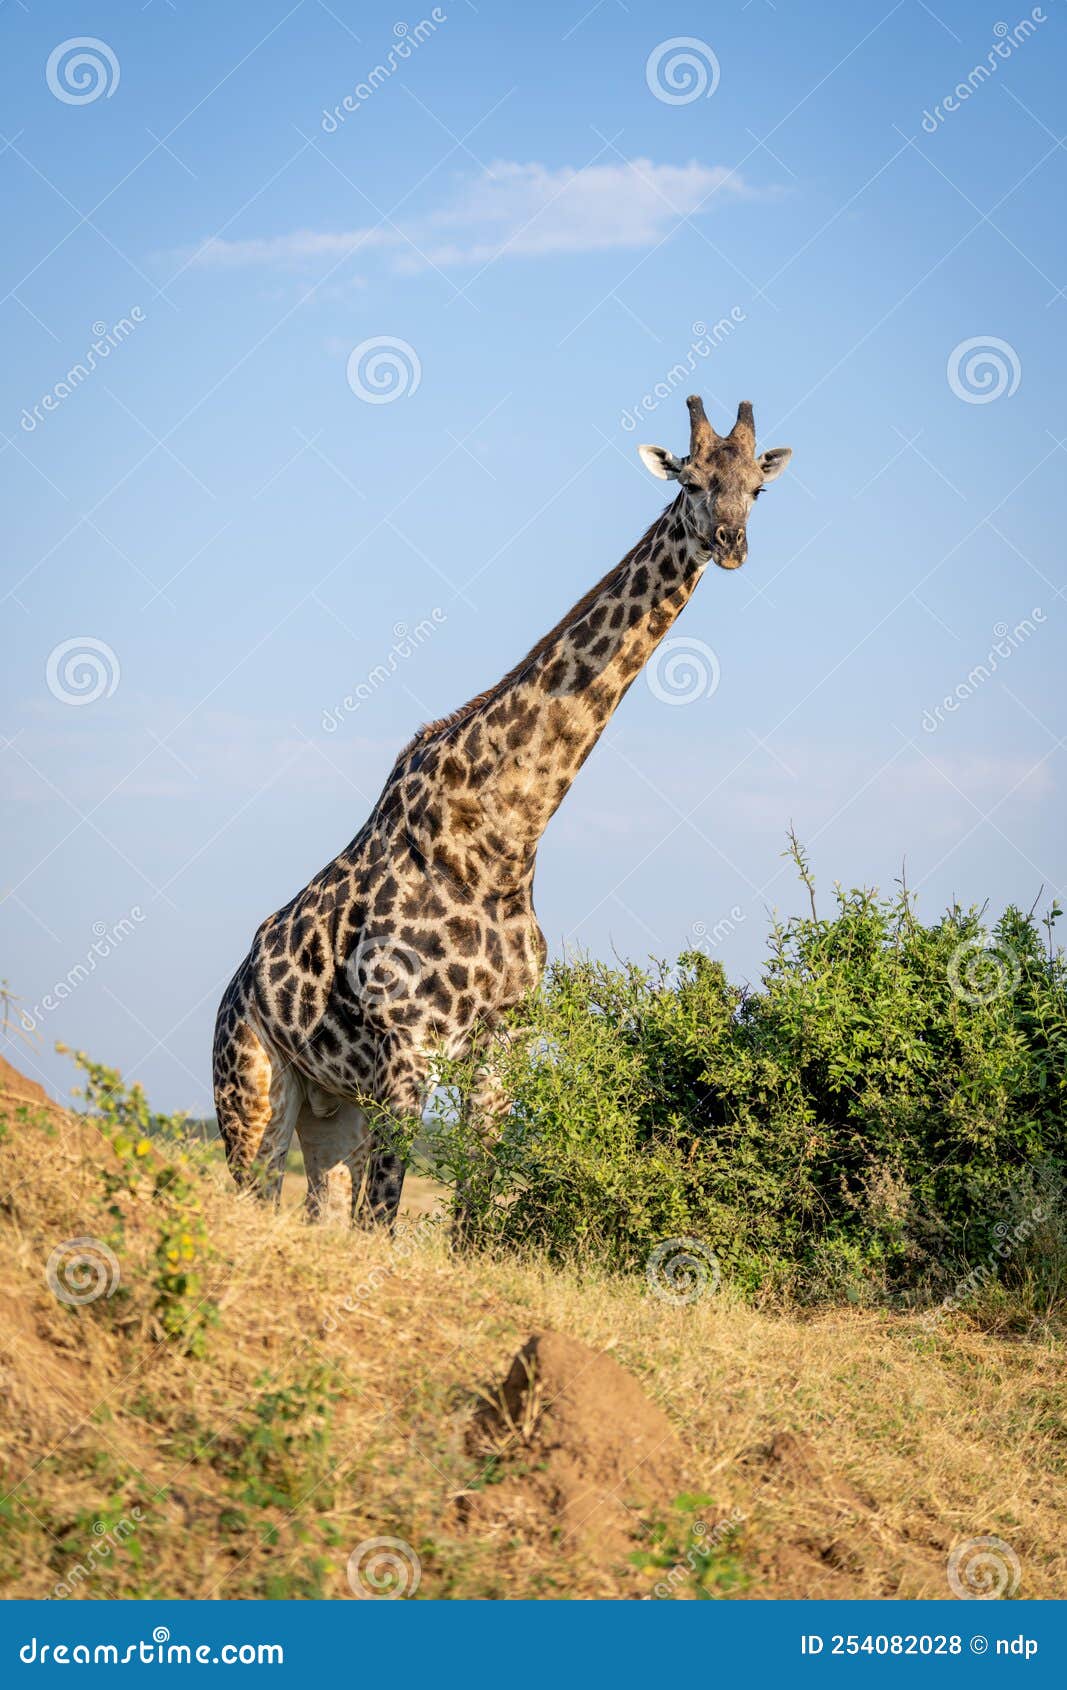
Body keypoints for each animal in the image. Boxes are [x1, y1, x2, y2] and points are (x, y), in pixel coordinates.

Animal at [212, 395, 791, 1226]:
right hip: (253, 1088)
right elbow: (385, 1215)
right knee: (256, 1197)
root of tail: (235, 985)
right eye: (690, 481)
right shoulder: (408, 1042)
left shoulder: (501, 1044)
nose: (730, 544)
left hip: (333, 1104)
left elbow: (471, 1207)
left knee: (322, 1206)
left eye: (757, 488)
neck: (506, 835)